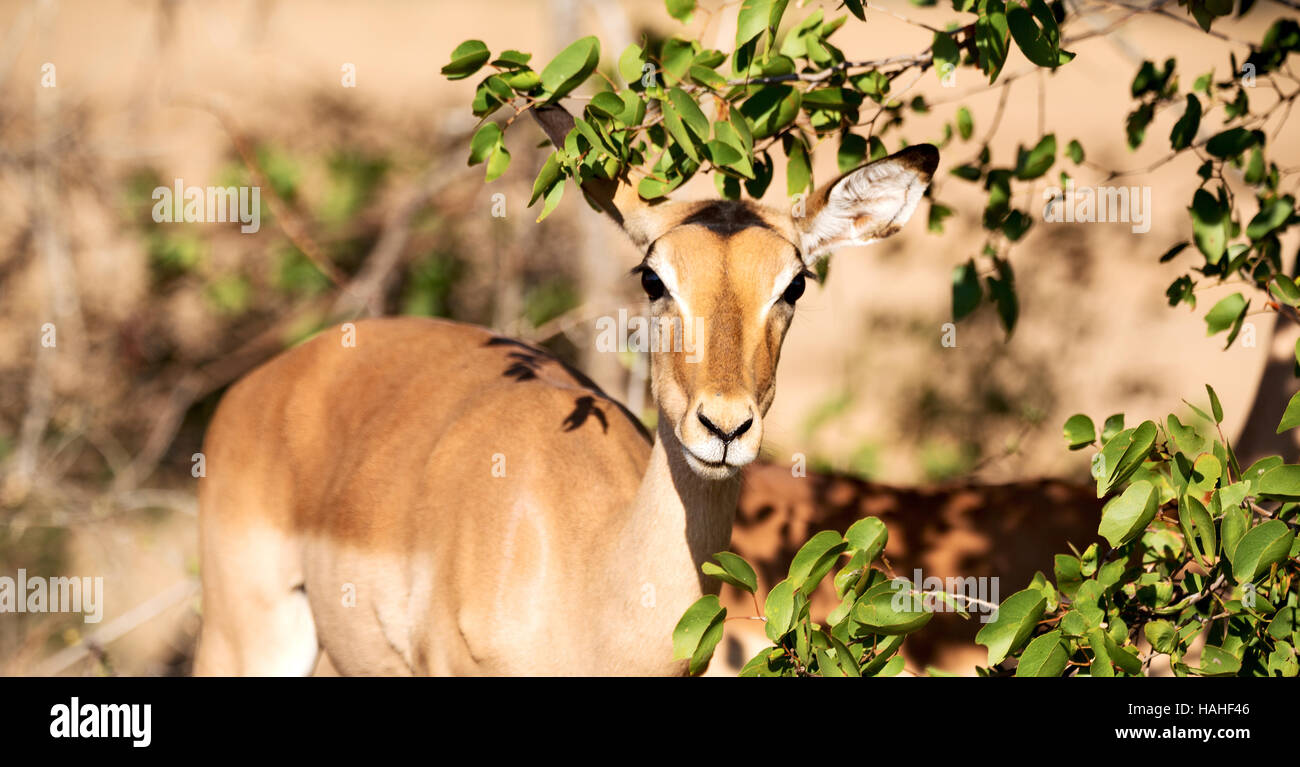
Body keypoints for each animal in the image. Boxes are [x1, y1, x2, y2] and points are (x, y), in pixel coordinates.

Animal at [193, 105, 939, 676]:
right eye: (653, 277)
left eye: (795, 284)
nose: (724, 428)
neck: (586, 580)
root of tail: (269, 379)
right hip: (248, 638)